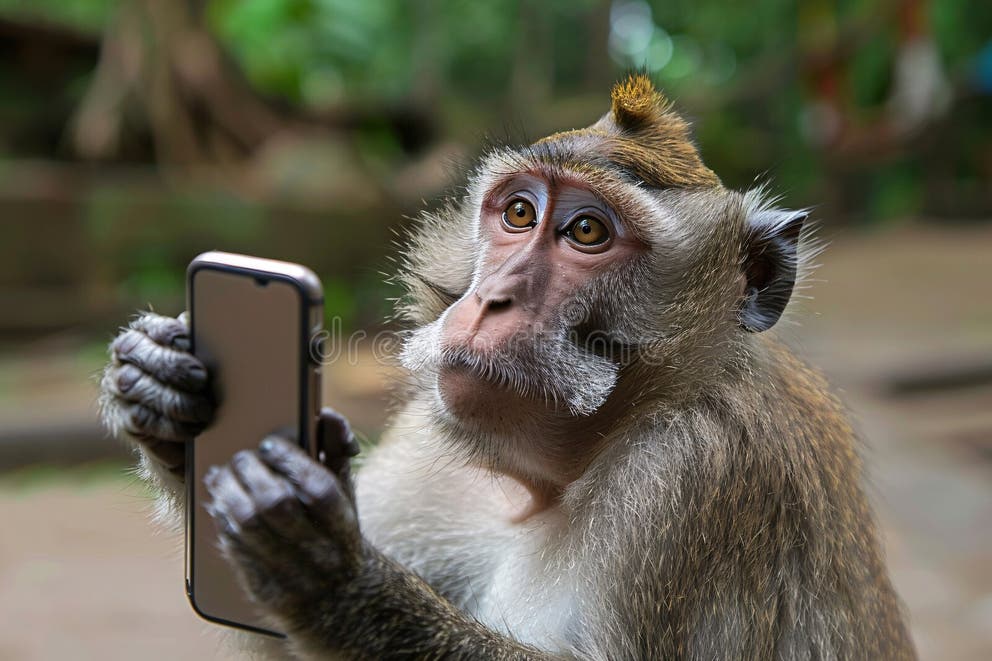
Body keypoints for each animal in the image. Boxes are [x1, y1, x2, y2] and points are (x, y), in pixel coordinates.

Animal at [98, 73, 916, 660]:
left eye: (587, 231)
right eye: (518, 213)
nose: (492, 299)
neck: (554, 480)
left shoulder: (695, 475)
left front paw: (334, 577)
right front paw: (167, 400)